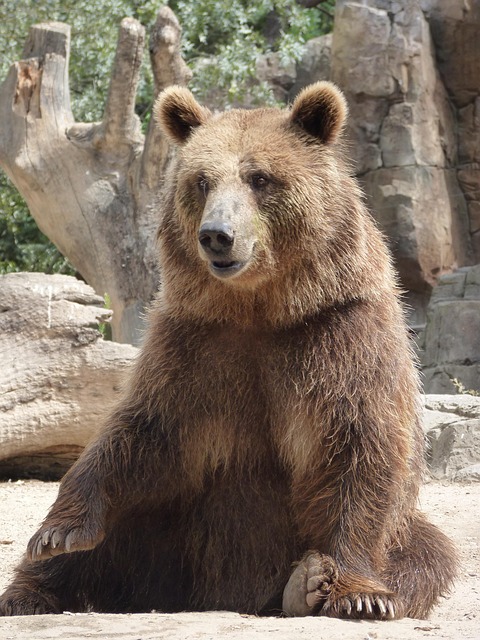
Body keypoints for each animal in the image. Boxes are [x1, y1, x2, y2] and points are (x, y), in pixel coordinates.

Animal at [0, 81, 457, 619]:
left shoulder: (340, 334)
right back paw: (29, 592)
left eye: (260, 178)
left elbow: (357, 443)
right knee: (109, 543)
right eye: (201, 181)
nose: (217, 235)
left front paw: (356, 592)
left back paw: (302, 585)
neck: (258, 309)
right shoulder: (194, 347)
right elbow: (141, 432)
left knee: (428, 552)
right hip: (171, 534)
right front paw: (56, 532)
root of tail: (227, 594)